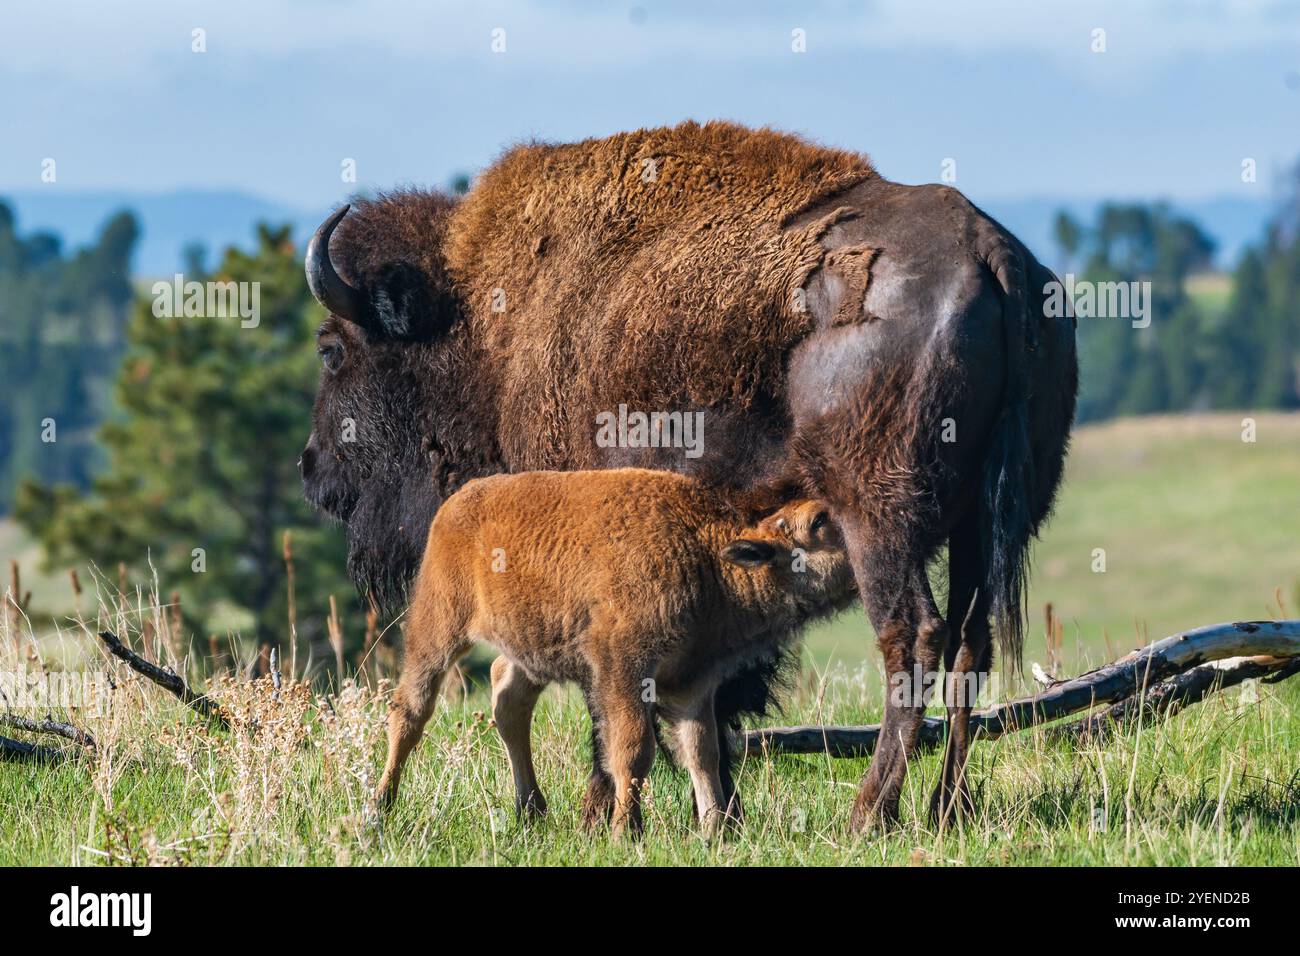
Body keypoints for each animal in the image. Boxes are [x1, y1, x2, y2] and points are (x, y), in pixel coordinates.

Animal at [300, 121, 1077, 830]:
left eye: (332, 349)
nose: (313, 470)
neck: (483, 320)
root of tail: (988, 253)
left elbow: (619, 705)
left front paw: (607, 812)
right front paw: (714, 813)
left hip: (877, 521)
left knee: (912, 637)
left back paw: (869, 812)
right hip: (986, 525)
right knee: (971, 644)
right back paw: (948, 809)